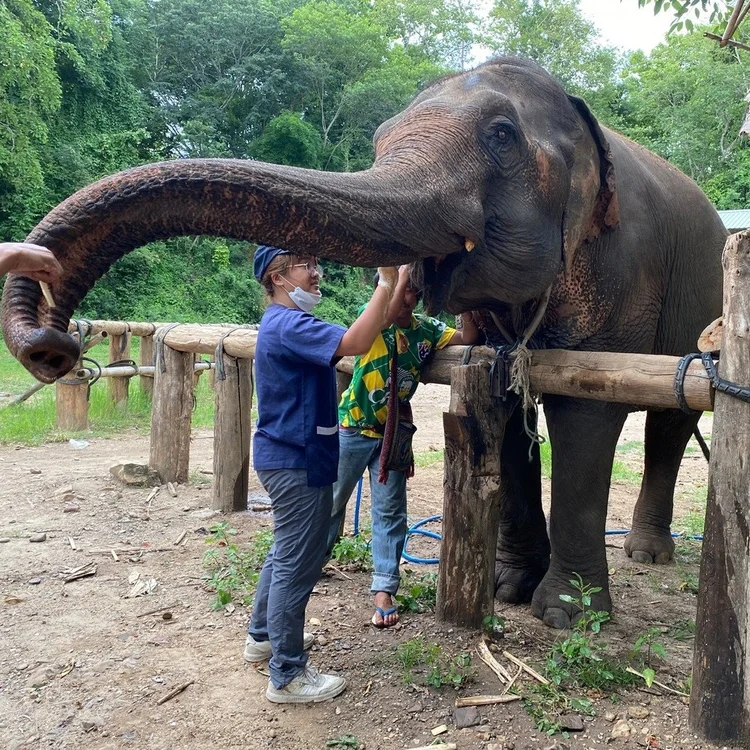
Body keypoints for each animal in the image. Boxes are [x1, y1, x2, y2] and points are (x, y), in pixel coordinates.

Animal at [2, 57, 727, 628]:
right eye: (378, 139)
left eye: (501, 136)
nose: (51, 344)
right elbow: (506, 400)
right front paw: (506, 590)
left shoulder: (624, 268)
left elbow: (585, 412)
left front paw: (566, 618)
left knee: (670, 423)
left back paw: (647, 554)